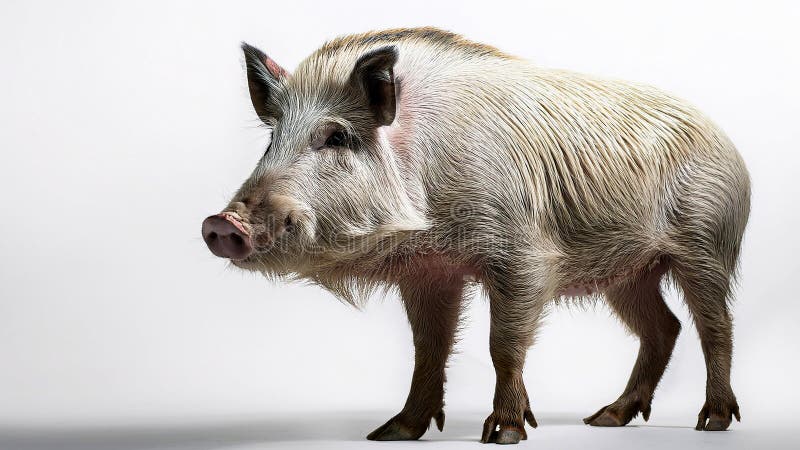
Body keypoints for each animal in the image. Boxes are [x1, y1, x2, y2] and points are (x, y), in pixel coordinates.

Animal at [202, 27, 750, 444]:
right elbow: (428, 348)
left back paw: (712, 422)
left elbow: (501, 344)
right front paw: (391, 432)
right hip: (630, 272)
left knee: (715, 326)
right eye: (272, 141)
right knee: (664, 328)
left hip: (706, 244)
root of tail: (730, 147)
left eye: (336, 137)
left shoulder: (524, 255)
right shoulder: (428, 271)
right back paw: (605, 418)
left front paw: (504, 433)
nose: (222, 224)